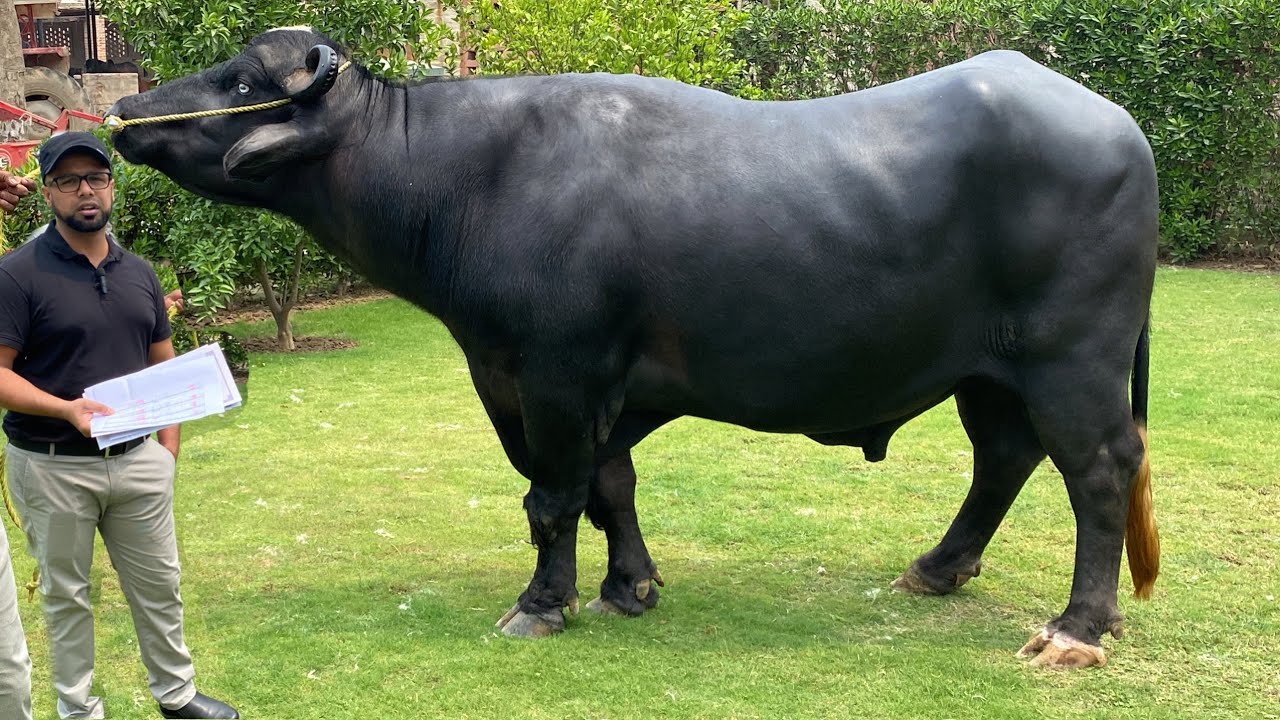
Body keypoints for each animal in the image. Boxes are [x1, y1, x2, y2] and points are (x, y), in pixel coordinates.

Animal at [107, 28, 1159, 669]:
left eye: (244, 82)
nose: (125, 117)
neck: (463, 178)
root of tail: (1120, 125)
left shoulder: (551, 378)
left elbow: (552, 497)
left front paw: (543, 603)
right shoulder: (587, 388)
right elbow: (612, 486)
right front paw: (630, 585)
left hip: (1071, 361)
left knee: (1098, 470)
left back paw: (1076, 627)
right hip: (991, 373)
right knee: (1005, 459)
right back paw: (938, 568)